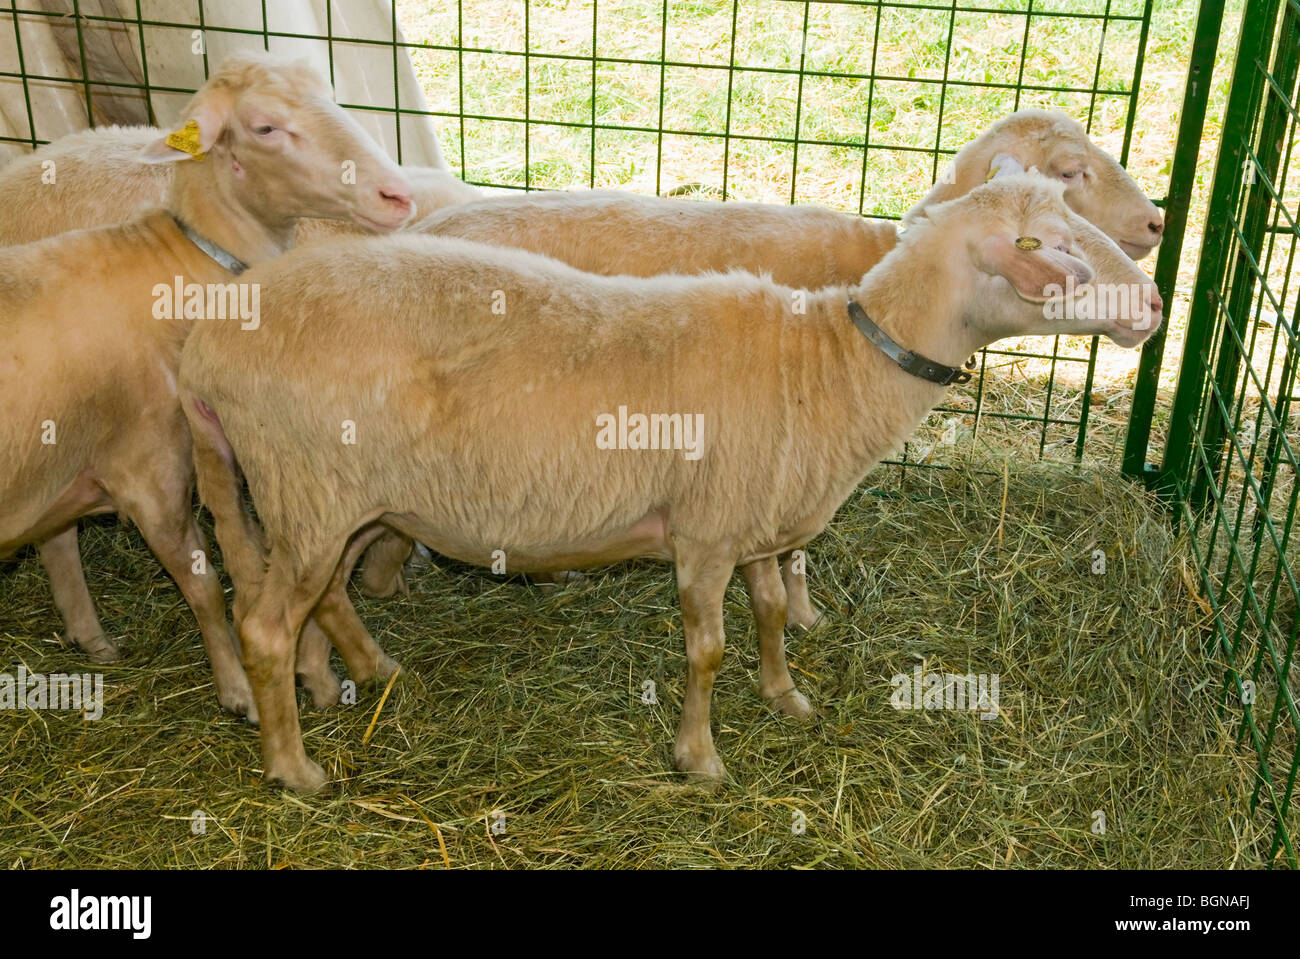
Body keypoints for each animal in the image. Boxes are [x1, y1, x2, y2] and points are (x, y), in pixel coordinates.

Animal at [0, 52, 415, 721]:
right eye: (265, 128)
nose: (397, 195)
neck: (179, 262)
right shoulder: (149, 471)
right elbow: (202, 585)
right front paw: (240, 691)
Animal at [178, 172, 1164, 792]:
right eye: (1054, 243)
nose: (1156, 306)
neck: (831, 361)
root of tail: (207, 350)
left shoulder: (760, 517)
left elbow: (771, 614)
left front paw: (786, 696)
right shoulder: (706, 531)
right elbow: (708, 650)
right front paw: (701, 757)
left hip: (324, 499)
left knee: (318, 598)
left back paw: (356, 673)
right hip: (313, 487)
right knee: (265, 623)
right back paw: (295, 768)